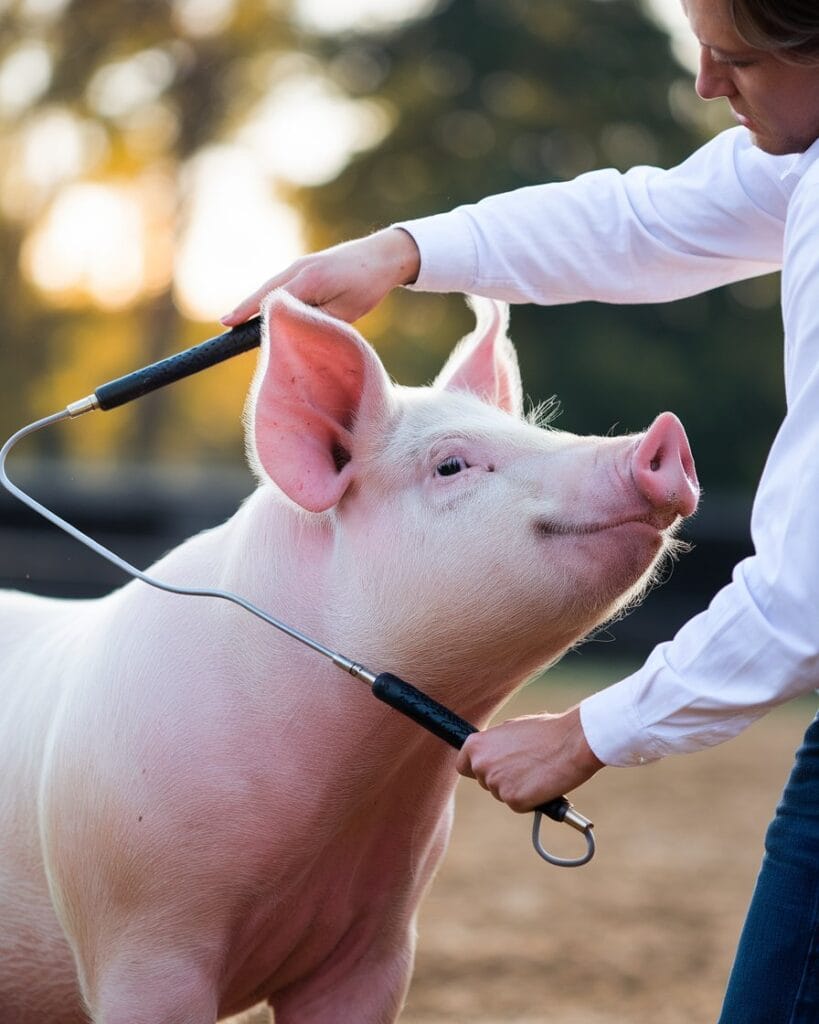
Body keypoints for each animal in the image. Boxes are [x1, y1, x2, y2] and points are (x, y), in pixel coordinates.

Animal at [0, 291, 698, 1024]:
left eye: (535, 430)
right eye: (451, 464)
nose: (664, 435)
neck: (353, 790)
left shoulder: (378, 946)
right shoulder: (142, 943)